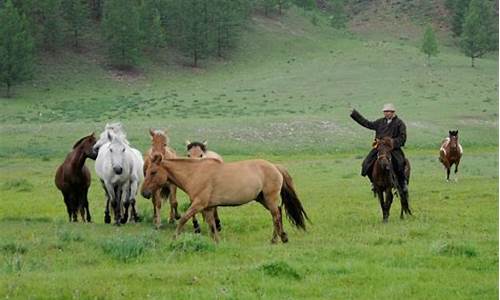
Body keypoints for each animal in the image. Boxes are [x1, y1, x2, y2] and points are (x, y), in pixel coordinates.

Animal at [141, 157, 308, 244]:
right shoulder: (208, 207)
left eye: (153, 172)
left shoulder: (198, 204)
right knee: (278, 213)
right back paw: (281, 237)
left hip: (269, 198)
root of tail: (274, 166)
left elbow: (183, 219)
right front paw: (217, 241)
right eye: (146, 171)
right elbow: (212, 225)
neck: (195, 173)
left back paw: (276, 239)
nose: (144, 193)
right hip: (262, 199)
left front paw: (174, 239)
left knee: (276, 215)